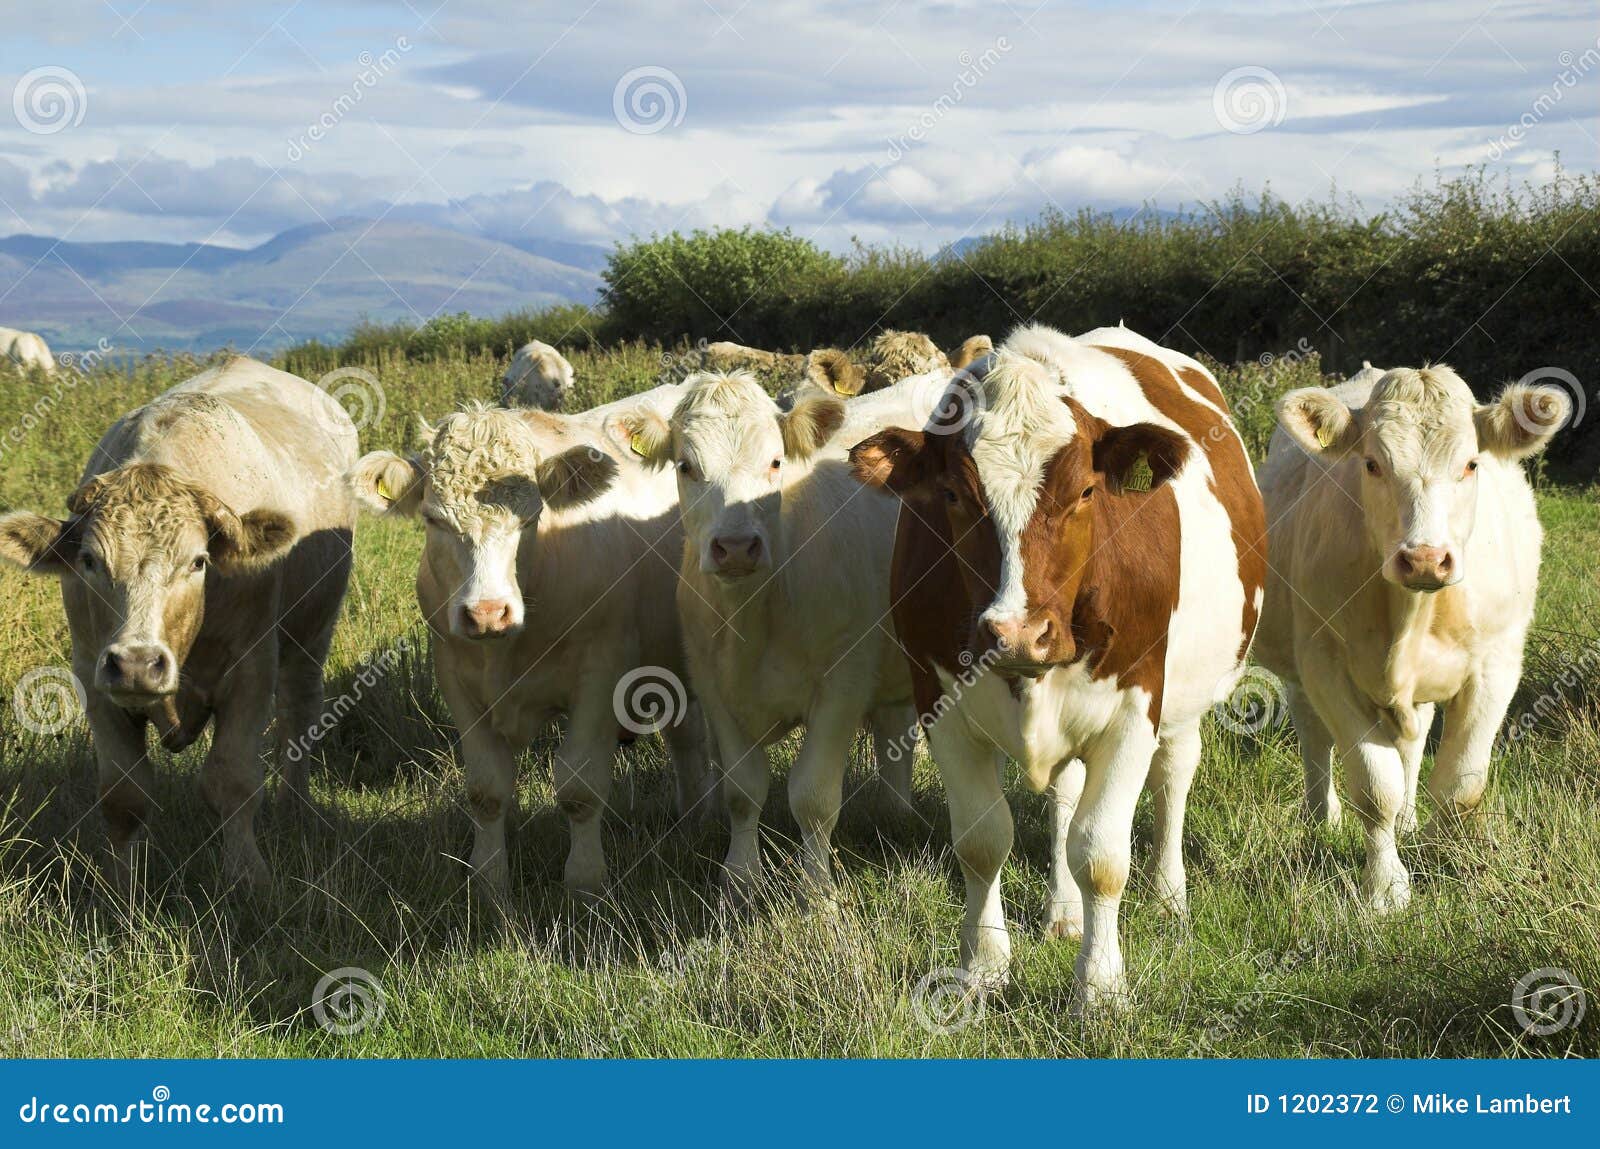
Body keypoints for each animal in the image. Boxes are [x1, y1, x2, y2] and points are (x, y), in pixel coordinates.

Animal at [0, 357, 357, 889]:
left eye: (198, 562)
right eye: (89, 561)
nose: (136, 663)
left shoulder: (252, 669)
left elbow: (233, 779)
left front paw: (247, 874)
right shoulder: (93, 675)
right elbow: (124, 795)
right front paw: (120, 884)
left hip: (313, 630)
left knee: (300, 712)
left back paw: (296, 808)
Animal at [346, 386, 714, 901]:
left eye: (531, 517)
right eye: (434, 519)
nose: (487, 612)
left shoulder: (600, 675)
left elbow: (580, 788)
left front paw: (584, 882)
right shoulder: (455, 679)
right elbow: (486, 790)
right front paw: (488, 881)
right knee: (685, 735)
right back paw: (694, 817)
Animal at [612, 370, 927, 899]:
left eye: (776, 461)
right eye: (686, 466)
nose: (737, 546)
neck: (755, 619)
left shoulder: (843, 683)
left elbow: (814, 797)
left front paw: (816, 891)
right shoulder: (712, 686)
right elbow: (743, 790)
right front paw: (740, 881)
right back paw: (896, 813)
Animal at [849, 323, 1267, 1005]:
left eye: (1087, 492)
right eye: (953, 494)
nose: (1019, 633)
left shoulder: (1134, 706)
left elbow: (1101, 854)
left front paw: (1099, 987)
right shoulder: (940, 705)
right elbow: (982, 841)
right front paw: (982, 970)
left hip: (1185, 702)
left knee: (1173, 779)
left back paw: (1168, 896)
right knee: (1065, 801)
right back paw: (1065, 915)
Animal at [1255, 364, 1567, 913]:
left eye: (1471, 464)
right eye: (1372, 464)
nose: (1424, 558)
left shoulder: (1497, 664)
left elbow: (1460, 787)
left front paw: (1451, 867)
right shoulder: (1324, 662)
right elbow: (1374, 787)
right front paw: (1386, 888)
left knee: (1414, 739)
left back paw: (1408, 820)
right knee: (1313, 731)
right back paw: (1321, 819)